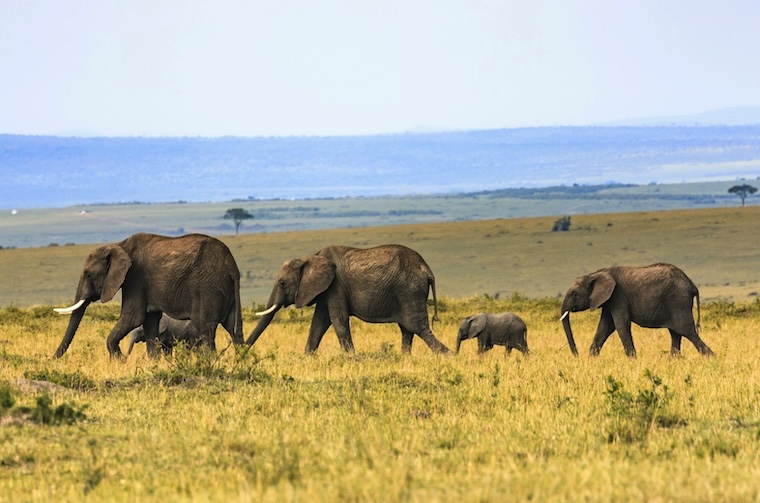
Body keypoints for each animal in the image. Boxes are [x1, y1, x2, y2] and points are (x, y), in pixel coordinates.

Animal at [52, 232, 244, 359]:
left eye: (88, 274)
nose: (52, 359)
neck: (119, 245)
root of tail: (232, 265)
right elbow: (150, 322)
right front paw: (154, 363)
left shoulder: (134, 278)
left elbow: (133, 318)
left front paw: (119, 362)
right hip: (227, 289)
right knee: (234, 329)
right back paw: (241, 363)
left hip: (207, 288)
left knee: (206, 329)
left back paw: (208, 364)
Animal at [246, 244, 450, 354]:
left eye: (282, 283)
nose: (241, 352)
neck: (310, 256)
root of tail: (427, 270)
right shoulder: (326, 290)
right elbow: (319, 323)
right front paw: (307, 357)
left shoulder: (336, 286)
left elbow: (338, 320)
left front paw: (352, 358)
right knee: (407, 330)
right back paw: (404, 358)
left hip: (409, 291)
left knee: (418, 328)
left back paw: (450, 355)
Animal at [559, 262, 714, 357]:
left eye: (575, 294)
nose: (576, 355)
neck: (595, 273)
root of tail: (692, 285)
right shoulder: (609, 301)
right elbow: (605, 327)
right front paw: (591, 359)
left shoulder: (618, 296)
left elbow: (620, 325)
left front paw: (633, 360)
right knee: (676, 334)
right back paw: (673, 361)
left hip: (678, 301)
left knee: (687, 331)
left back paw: (711, 358)